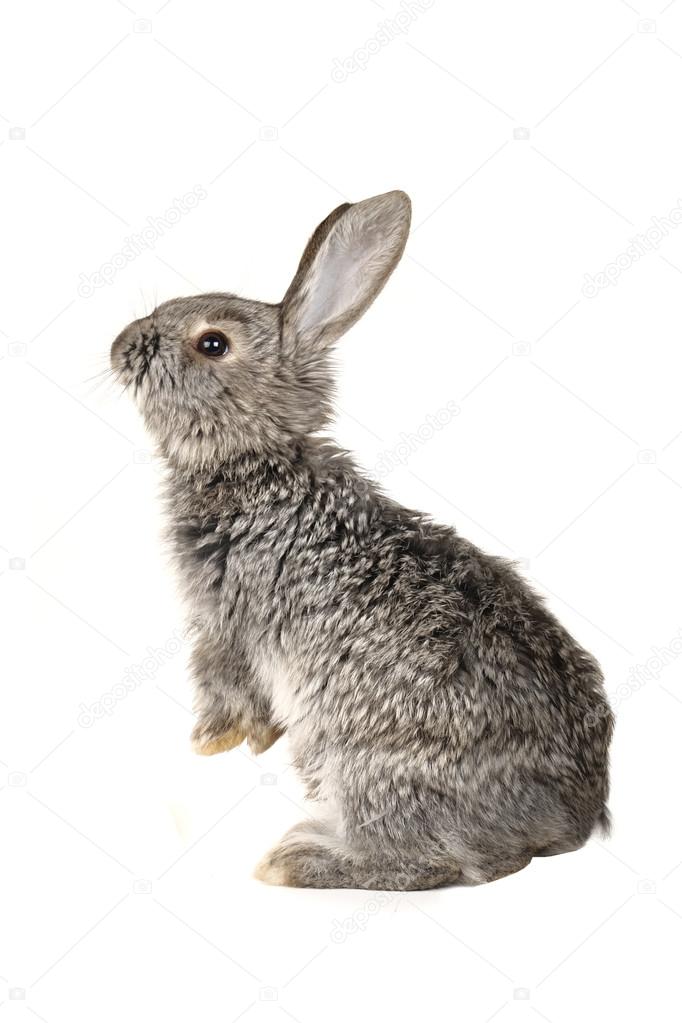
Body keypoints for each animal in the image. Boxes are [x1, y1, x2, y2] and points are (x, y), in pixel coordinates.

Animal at [111, 190, 614, 890]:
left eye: (212, 343)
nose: (121, 344)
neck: (260, 464)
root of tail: (568, 821)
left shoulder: (228, 619)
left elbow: (224, 683)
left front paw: (211, 742)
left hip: (364, 760)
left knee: (442, 863)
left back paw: (298, 861)